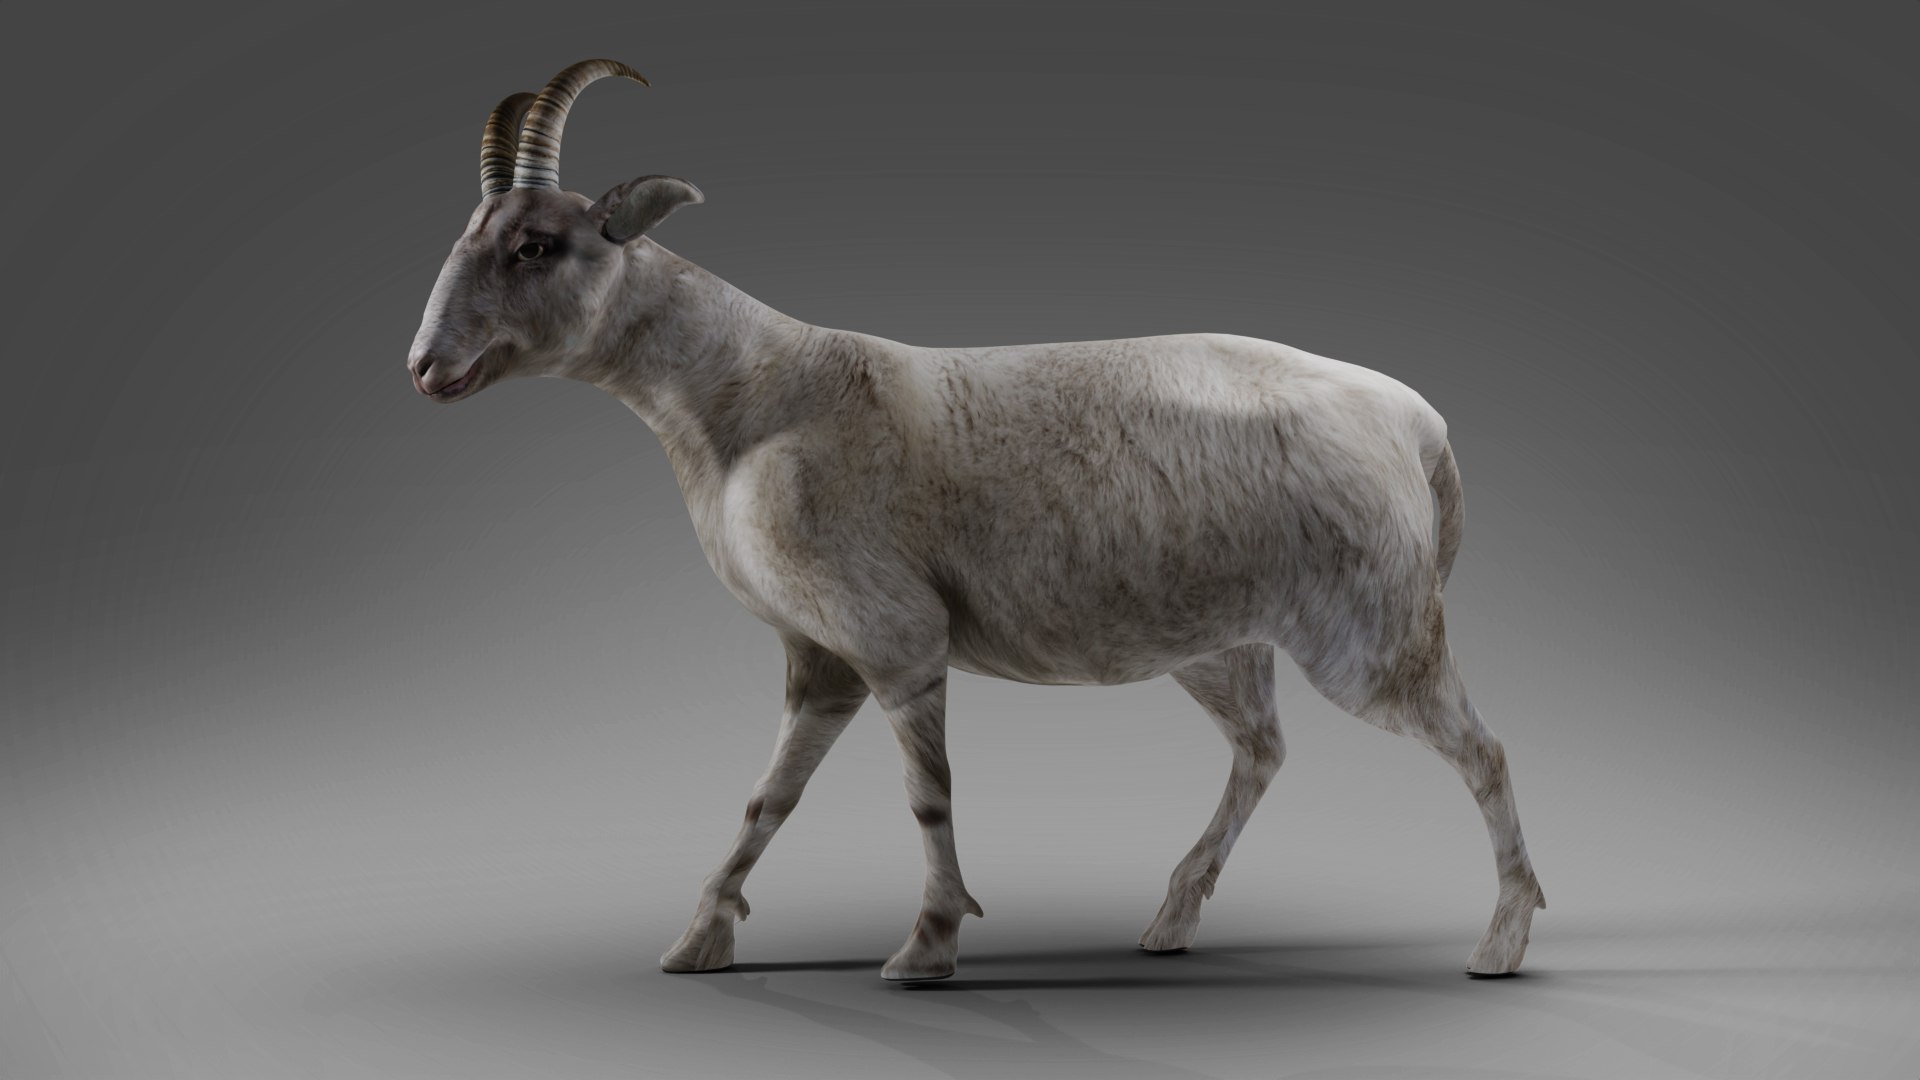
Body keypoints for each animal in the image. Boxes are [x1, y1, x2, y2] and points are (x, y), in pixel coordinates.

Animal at [407, 59, 1547, 981]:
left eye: (539, 243)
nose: (425, 367)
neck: (752, 392)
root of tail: (1420, 426)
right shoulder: (818, 654)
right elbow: (768, 796)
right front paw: (697, 943)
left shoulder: (897, 637)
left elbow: (929, 792)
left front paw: (926, 950)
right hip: (1220, 640)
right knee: (1264, 748)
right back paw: (1171, 921)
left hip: (1372, 629)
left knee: (1482, 750)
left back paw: (1501, 942)